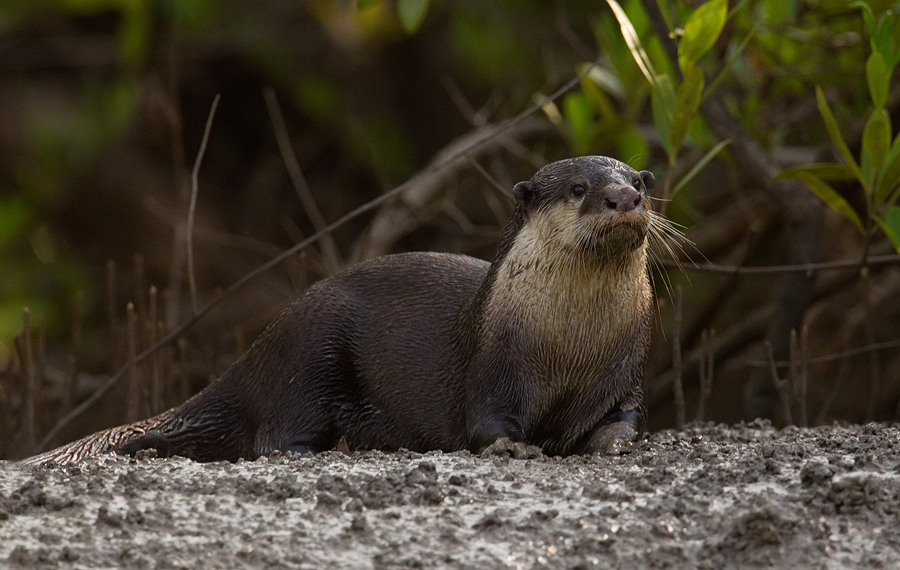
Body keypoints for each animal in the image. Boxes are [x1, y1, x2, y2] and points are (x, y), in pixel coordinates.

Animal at [22, 155, 660, 466]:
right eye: (577, 188)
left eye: (639, 182)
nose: (623, 197)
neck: (569, 347)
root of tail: (256, 354)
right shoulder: (493, 367)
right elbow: (485, 424)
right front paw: (512, 446)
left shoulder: (627, 366)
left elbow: (622, 417)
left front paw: (614, 442)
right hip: (313, 347)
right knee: (271, 435)